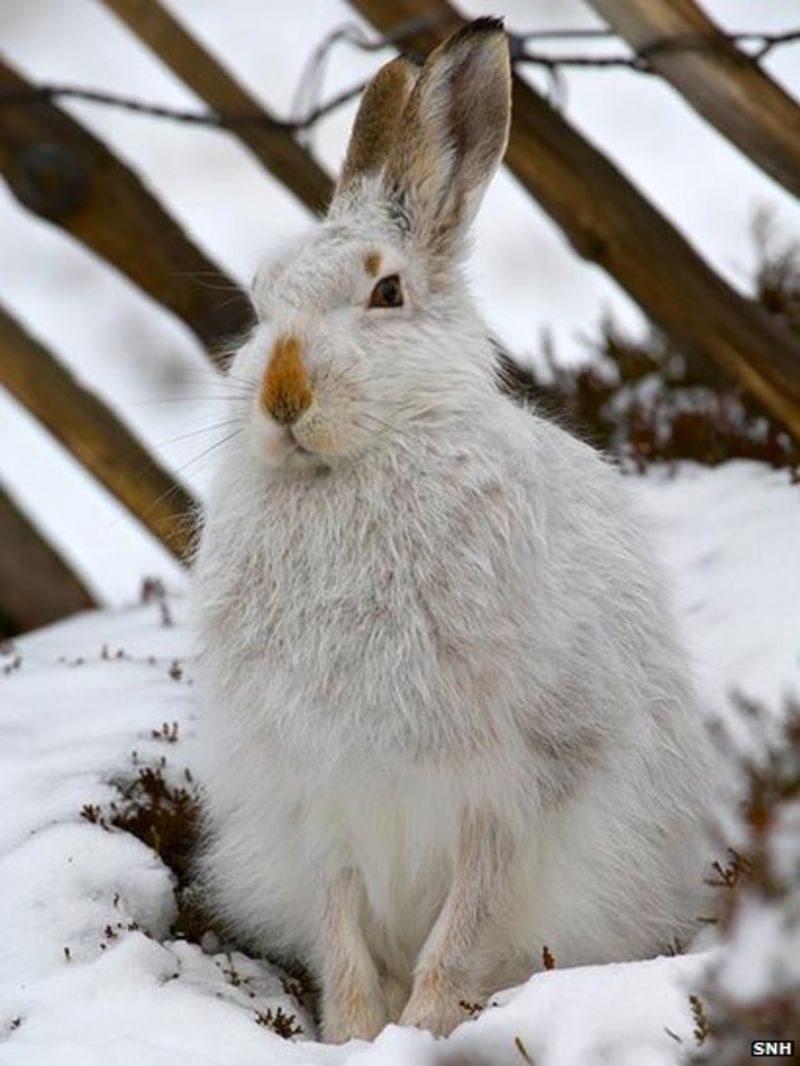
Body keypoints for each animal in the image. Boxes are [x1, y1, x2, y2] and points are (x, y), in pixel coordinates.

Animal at [192, 17, 714, 1043]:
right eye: (262, 301)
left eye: (387, 294)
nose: (283, 395)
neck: (353, 471)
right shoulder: (319, 799)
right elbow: (341, 929)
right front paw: (355, 1037)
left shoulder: (513, 787)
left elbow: (463, 924)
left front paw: (426, 1030)